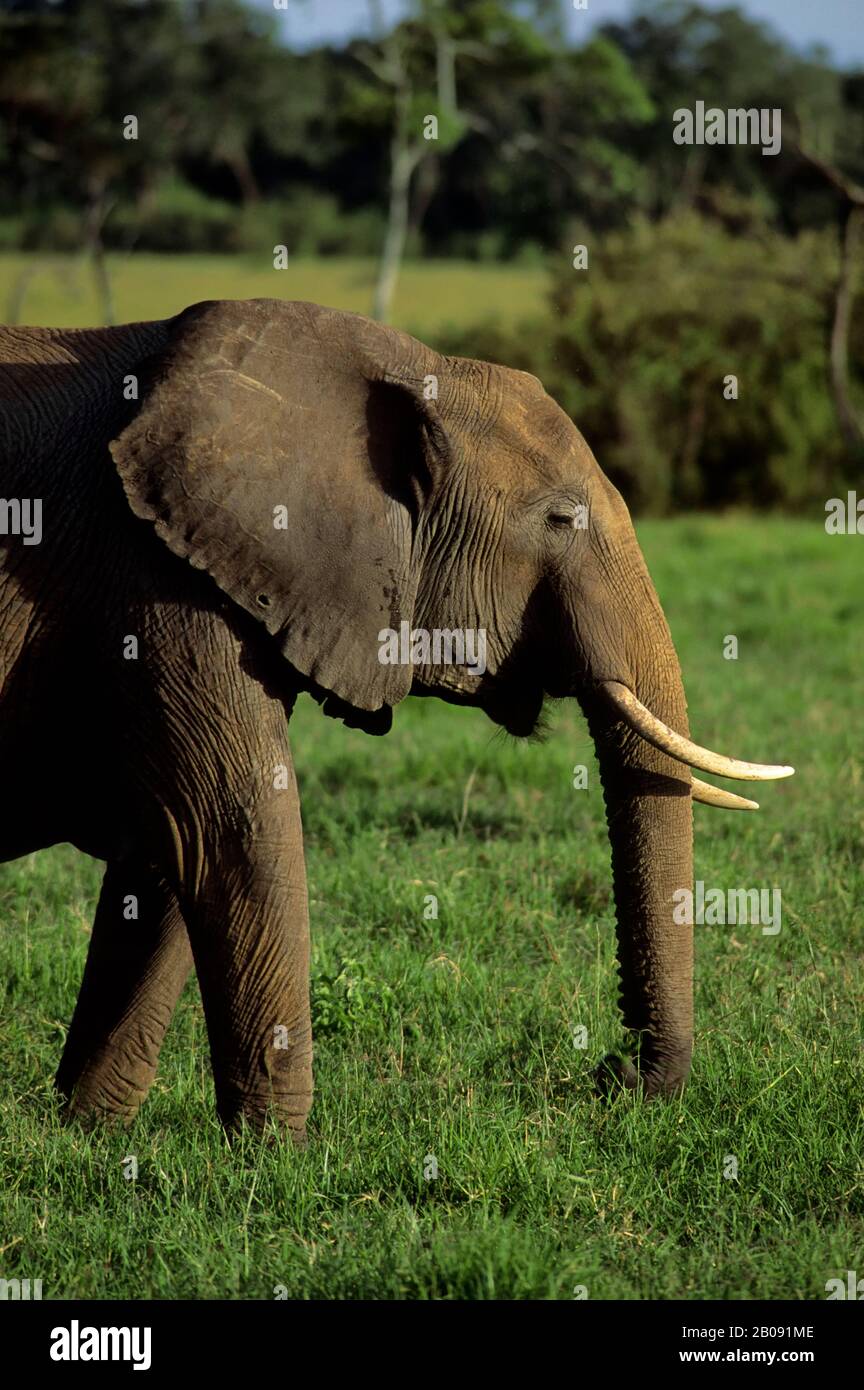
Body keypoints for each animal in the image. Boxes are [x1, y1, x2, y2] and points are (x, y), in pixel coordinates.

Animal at [0, 298, 793, 1142]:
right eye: (559, 518)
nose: (614, 1077)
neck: (408, 367)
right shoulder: (157, 587)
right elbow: (231, 825)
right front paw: (276, 1153)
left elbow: (168, 851)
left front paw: (87, 1130)